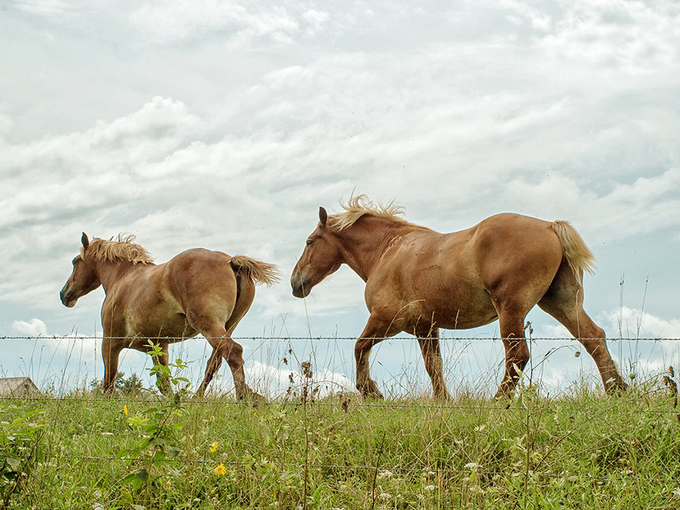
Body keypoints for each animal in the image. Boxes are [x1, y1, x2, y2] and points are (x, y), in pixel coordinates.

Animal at [60, 233, 279, 398]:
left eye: (74, 262)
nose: (64, 294)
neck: (123, 278)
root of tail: (230, 261)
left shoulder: (110, 342)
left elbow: (109, 382)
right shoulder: (158, 347)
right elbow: (164, 383)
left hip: (209, 324)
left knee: (233, 352)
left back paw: (245, 398)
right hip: (228, 326)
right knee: (215, 362)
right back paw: (199, 398)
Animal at [291, 195, 627, 400]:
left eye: (309, 242)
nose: (296, 283)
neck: (389, 250)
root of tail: (549, 226)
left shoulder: (386, 320)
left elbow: (359, 348)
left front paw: (371, 391)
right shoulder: (425, 329)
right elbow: (434, 368)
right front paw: (444, 401)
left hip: (511, 309)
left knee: (518, 356)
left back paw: (497, 401)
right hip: (561, 304)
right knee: (594, 338)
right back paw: (619, 390)